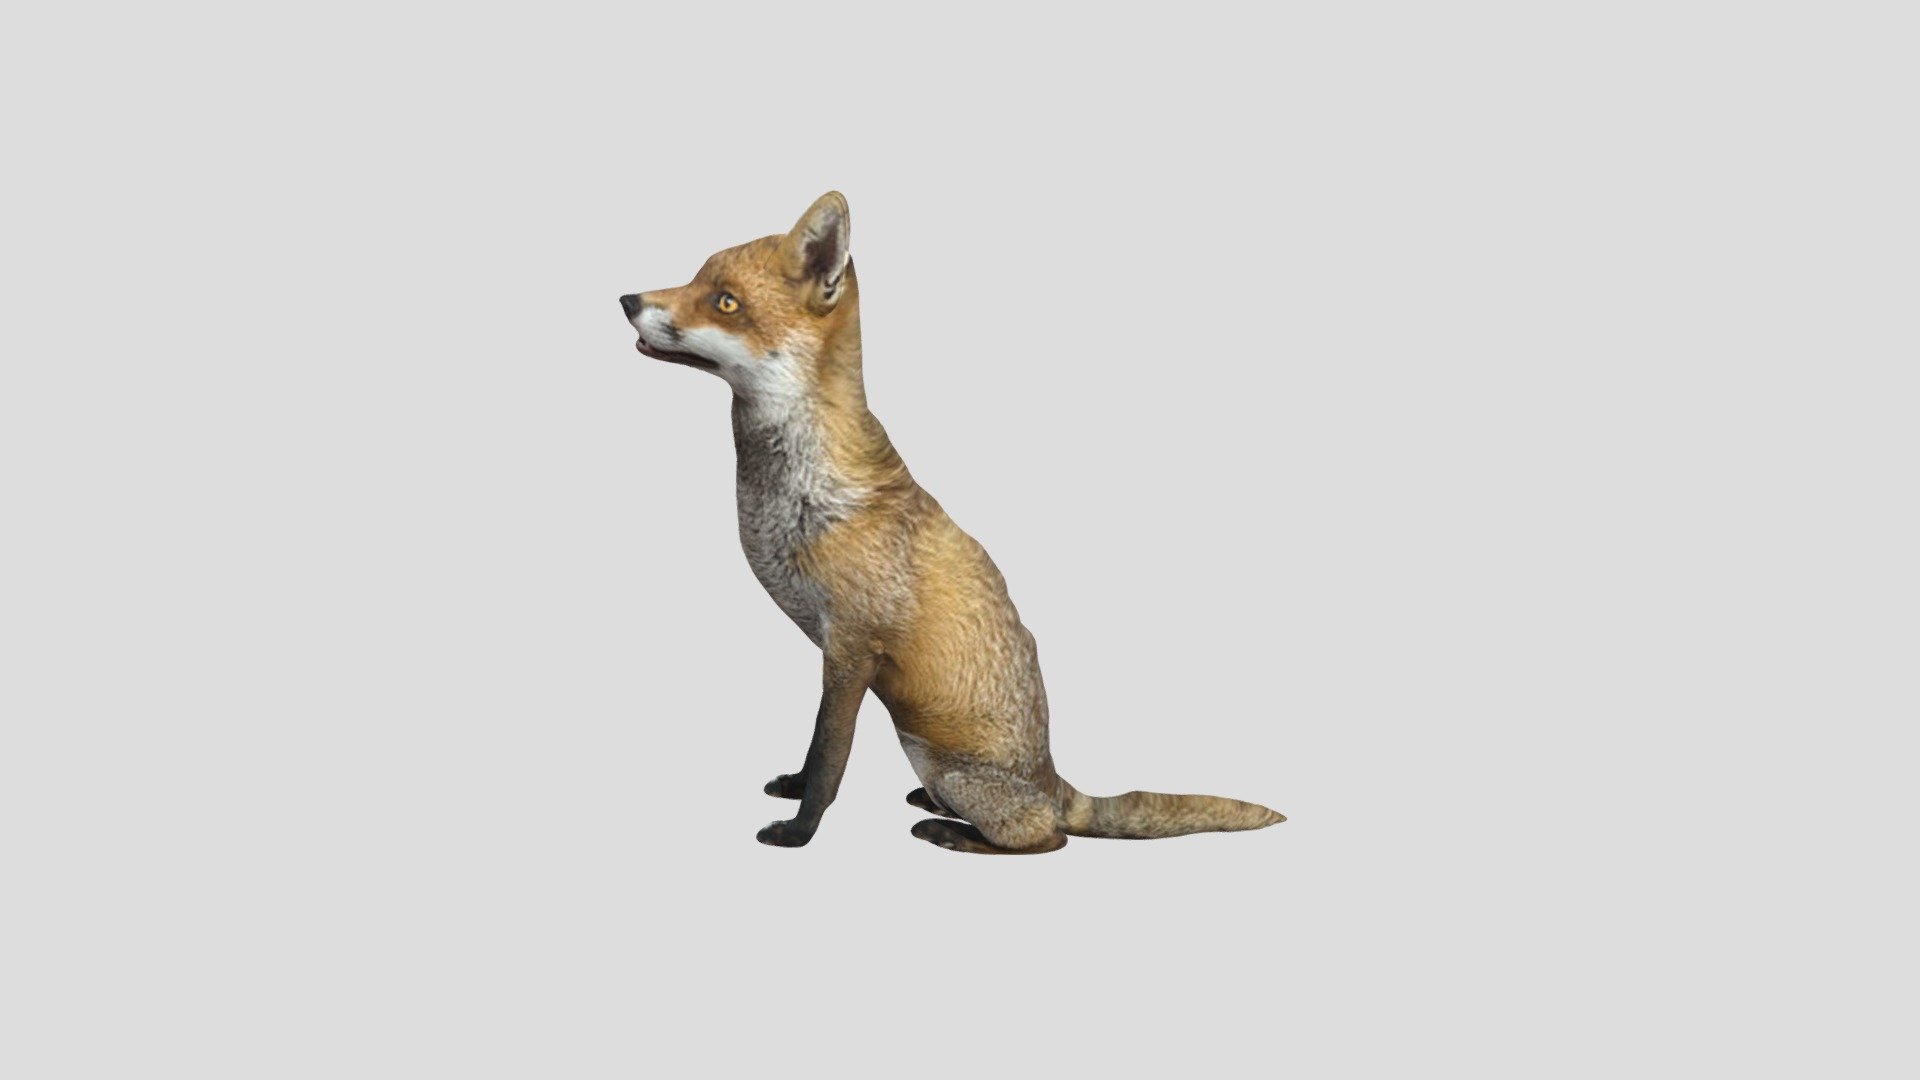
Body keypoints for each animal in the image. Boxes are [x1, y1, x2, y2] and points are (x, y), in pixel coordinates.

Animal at [617, 192, 1285, 854]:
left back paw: (950, 831)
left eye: (725, 301)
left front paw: (801, 832)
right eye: (695, 279)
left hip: (941, 760)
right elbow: (814, 751)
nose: (627, 301)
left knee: (1045, 838)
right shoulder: (834, 655)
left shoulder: (852, 648)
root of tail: (1055, 780)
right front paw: (795, 790)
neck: (796, 497)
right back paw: (931, 807)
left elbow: (830, 757)